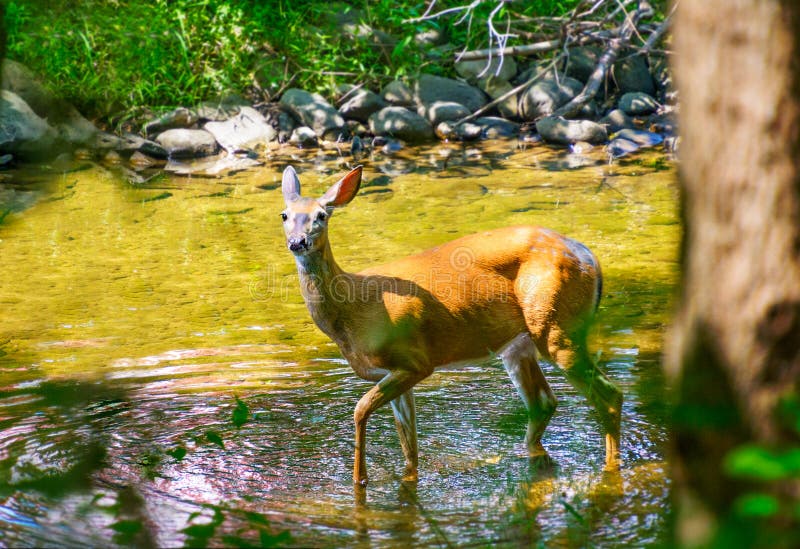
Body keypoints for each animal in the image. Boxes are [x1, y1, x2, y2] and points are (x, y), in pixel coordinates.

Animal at [279, 165, 623, 489]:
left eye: (321, 215)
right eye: (284, 215)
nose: (298, 242)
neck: (353, 310)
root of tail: (589, 256)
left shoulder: (416, 360)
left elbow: (360, 410)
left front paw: (359, 479)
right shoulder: (392, 372)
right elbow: (409, 446)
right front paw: (405, 479)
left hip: (556, 328)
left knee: (610, 396)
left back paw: (610, 471)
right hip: (519, 344)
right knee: (544, 403)